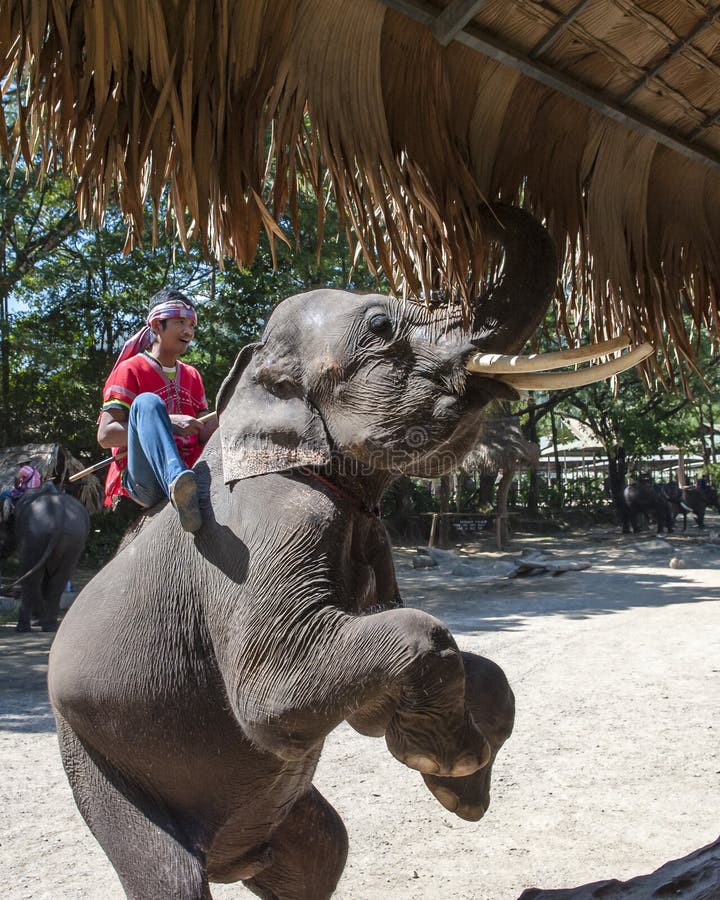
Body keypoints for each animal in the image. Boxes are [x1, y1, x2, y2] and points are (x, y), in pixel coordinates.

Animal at [0, 482, 90, 632]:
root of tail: (58, 511)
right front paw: (39, 621)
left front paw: (36, 621)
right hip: (73, 538)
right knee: (60, 578)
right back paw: (50, 626)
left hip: (35, 533)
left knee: (31, 576)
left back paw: (23, 627)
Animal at [48, 203, 560, 899]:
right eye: (381, 326)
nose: (477, 206)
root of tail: (231, 858)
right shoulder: (261, 530)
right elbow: (273, 695)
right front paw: (447, 758)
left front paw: (459, 788)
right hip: (96, 758)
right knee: (169, 877)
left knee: (321, 853)